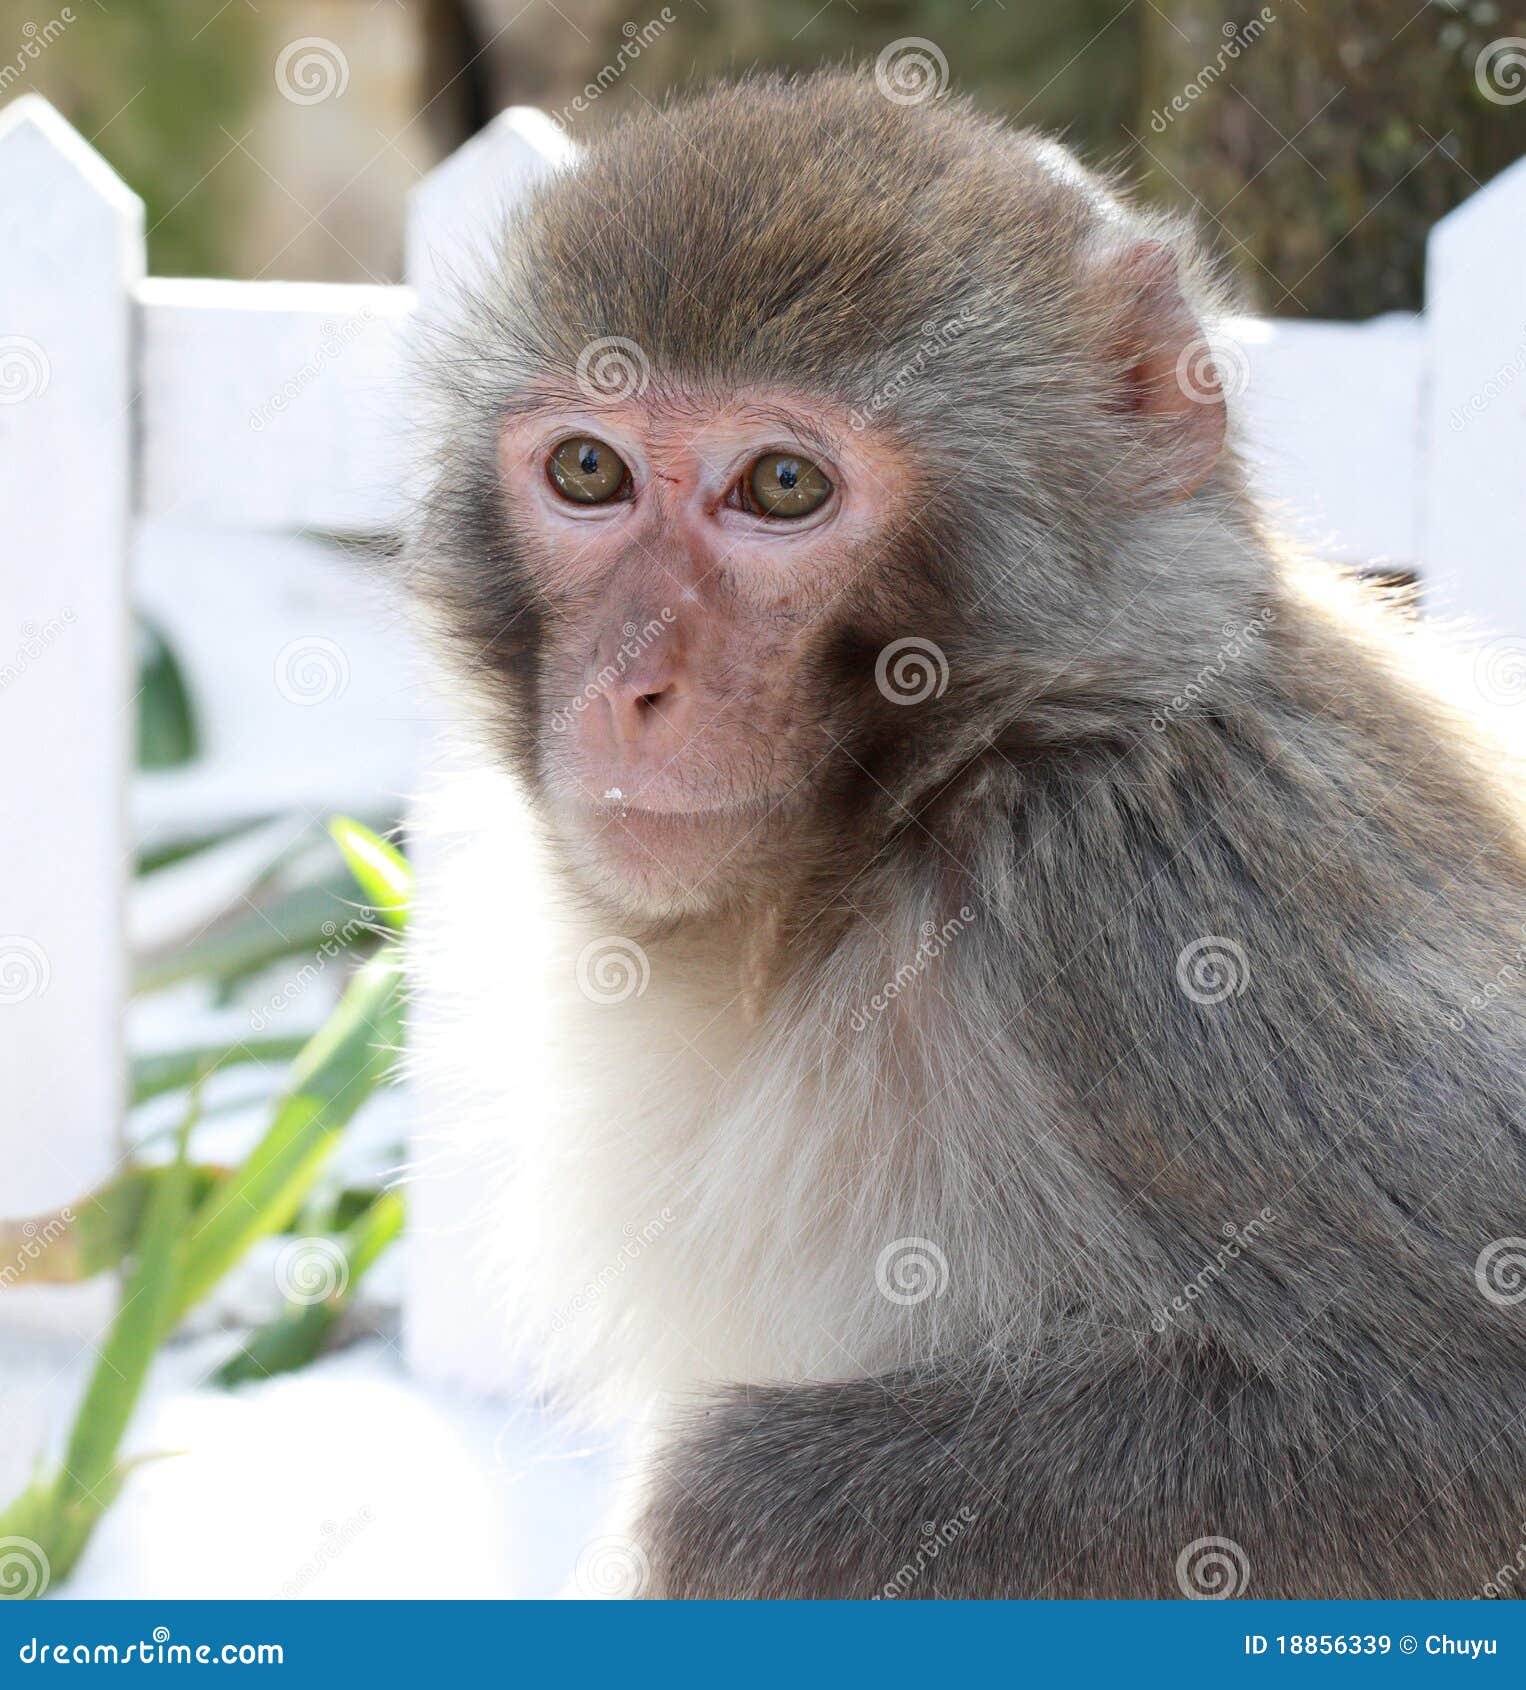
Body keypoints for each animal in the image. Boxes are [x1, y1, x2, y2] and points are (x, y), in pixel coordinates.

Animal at [403, 70, 1526, 1599]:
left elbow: (1465, 1412)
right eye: (586, 469)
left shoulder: (1148, 905)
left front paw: (730, 1505)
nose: (630, 685)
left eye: (781, 487)